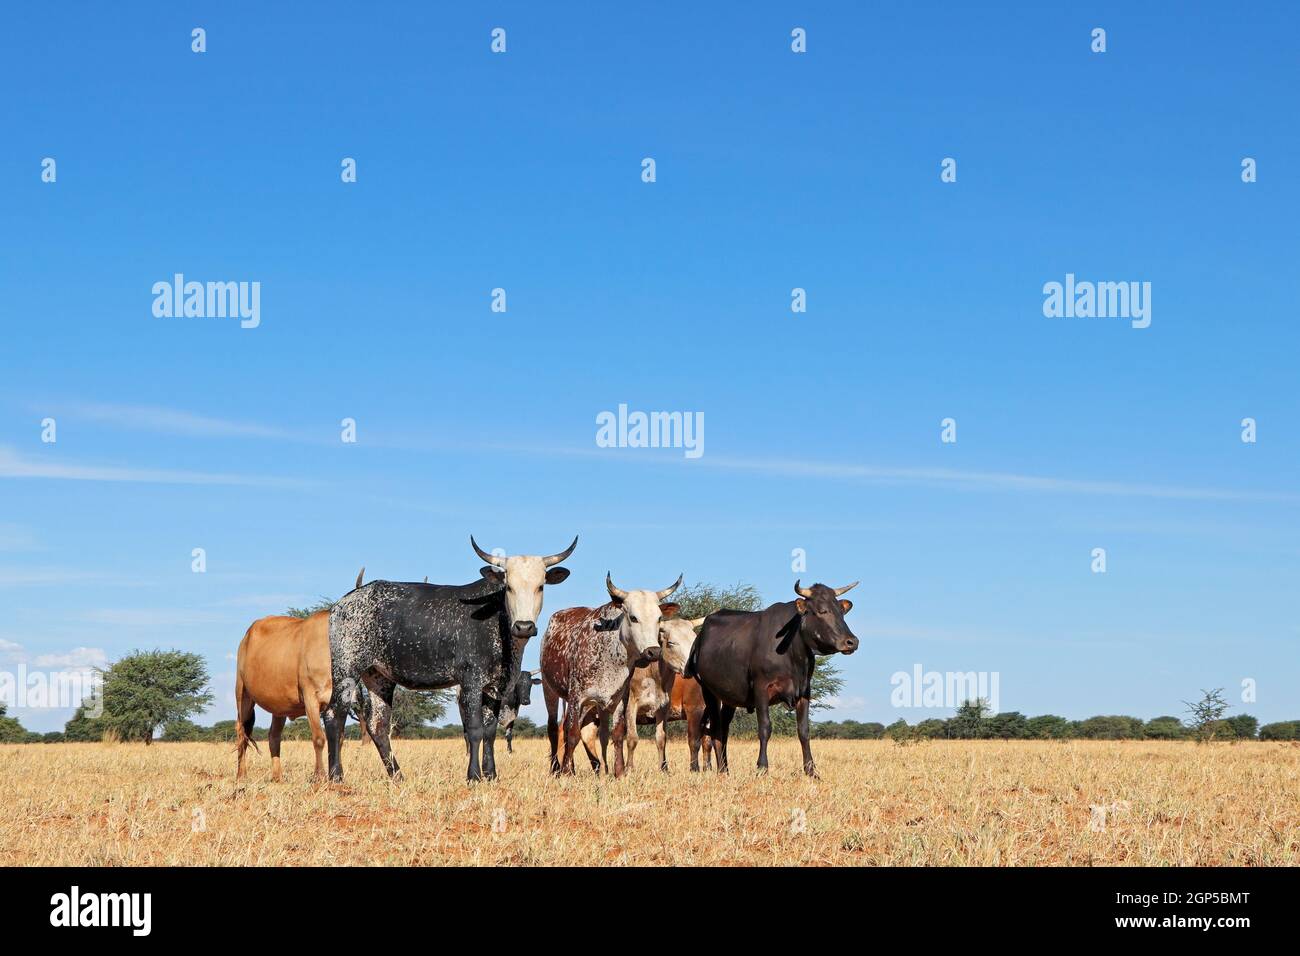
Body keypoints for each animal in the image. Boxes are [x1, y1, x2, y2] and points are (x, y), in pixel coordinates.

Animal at [233, 567, 365, 781]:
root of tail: (247, 635)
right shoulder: (311, 698)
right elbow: (319, 738)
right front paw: (319, 776)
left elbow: (338, 738)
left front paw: (336, 776)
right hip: (243, 694)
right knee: (241, 732)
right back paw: (241, 774)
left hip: (278, 706)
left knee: (273, 736)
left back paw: (277, 777)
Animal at [324, 535, 577, 783]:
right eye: (509, 587)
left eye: (540, 586)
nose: (524, 626)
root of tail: (342, 603)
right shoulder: (470, 682)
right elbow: (474, 729)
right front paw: (474, 776)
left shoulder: (495, 687)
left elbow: (490, 731)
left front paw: (491, 774)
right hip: (346, 668)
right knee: (334, 715)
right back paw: (336, 776)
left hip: (379, 676)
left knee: (378, 725)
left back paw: (397, 776)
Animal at [540, 572, 681, 777]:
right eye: (633, 617)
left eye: (659, 618)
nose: (653, 652)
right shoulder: (576, 697)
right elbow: (573, 733)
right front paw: (565, 773)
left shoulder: (620, 699)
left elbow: (618, 734)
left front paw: (619, 772)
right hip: (549, 689)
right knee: (556, 728)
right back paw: (557, 768)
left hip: (595, 705)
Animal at [615, 616, 713, 772]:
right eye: (672, 642)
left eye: (694, 641)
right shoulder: (694, 708)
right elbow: (694, 741)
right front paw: (694, 769)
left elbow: (706, 742)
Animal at [686, 580, 859, 778]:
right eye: (822, 611)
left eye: (841, 611)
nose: (852, 641)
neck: (793, 655)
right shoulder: (761, 689)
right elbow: (765, 728)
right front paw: (762, 767)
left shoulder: (804, 691)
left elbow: (804, 731)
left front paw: (811, 770)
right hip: (709, 692)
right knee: (715, 729)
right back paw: (722, 770)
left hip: (729, 697)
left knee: (723, 731)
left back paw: (726, 769)